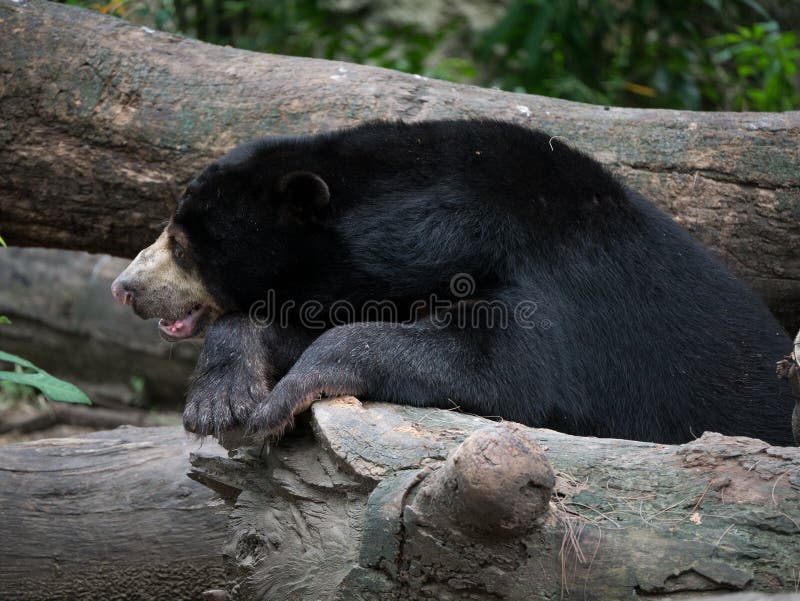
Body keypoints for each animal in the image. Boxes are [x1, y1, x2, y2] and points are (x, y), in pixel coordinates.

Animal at [111, 119, 795, 446]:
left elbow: (502, 367)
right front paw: (221, 401)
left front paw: (286, 397)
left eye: (182, 245)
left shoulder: (557, 282)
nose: (125, 287)